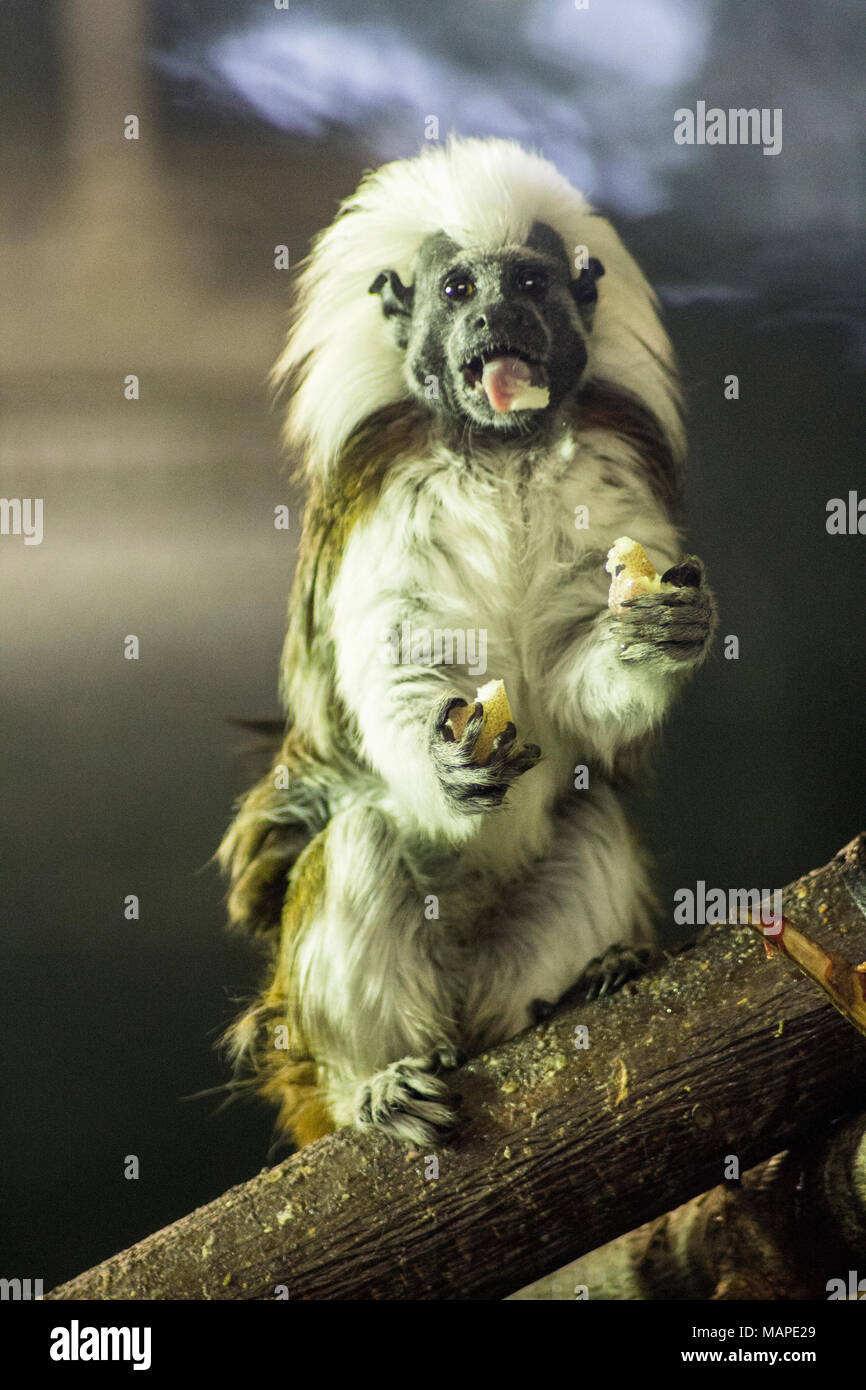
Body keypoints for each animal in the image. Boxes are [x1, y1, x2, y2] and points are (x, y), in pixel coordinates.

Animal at [218, 137, 717, 1150]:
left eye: (527, 282)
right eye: (456, 291)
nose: (496, 316)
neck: (504, 452)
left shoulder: (608, 480)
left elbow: (569, 683)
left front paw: (656, 635)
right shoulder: (392, 493)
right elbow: (400, 658)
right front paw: (447, 767)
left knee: (590, 818)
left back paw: (580, 990)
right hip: (317, 1039)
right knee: (360, 837)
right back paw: (374, 1086)